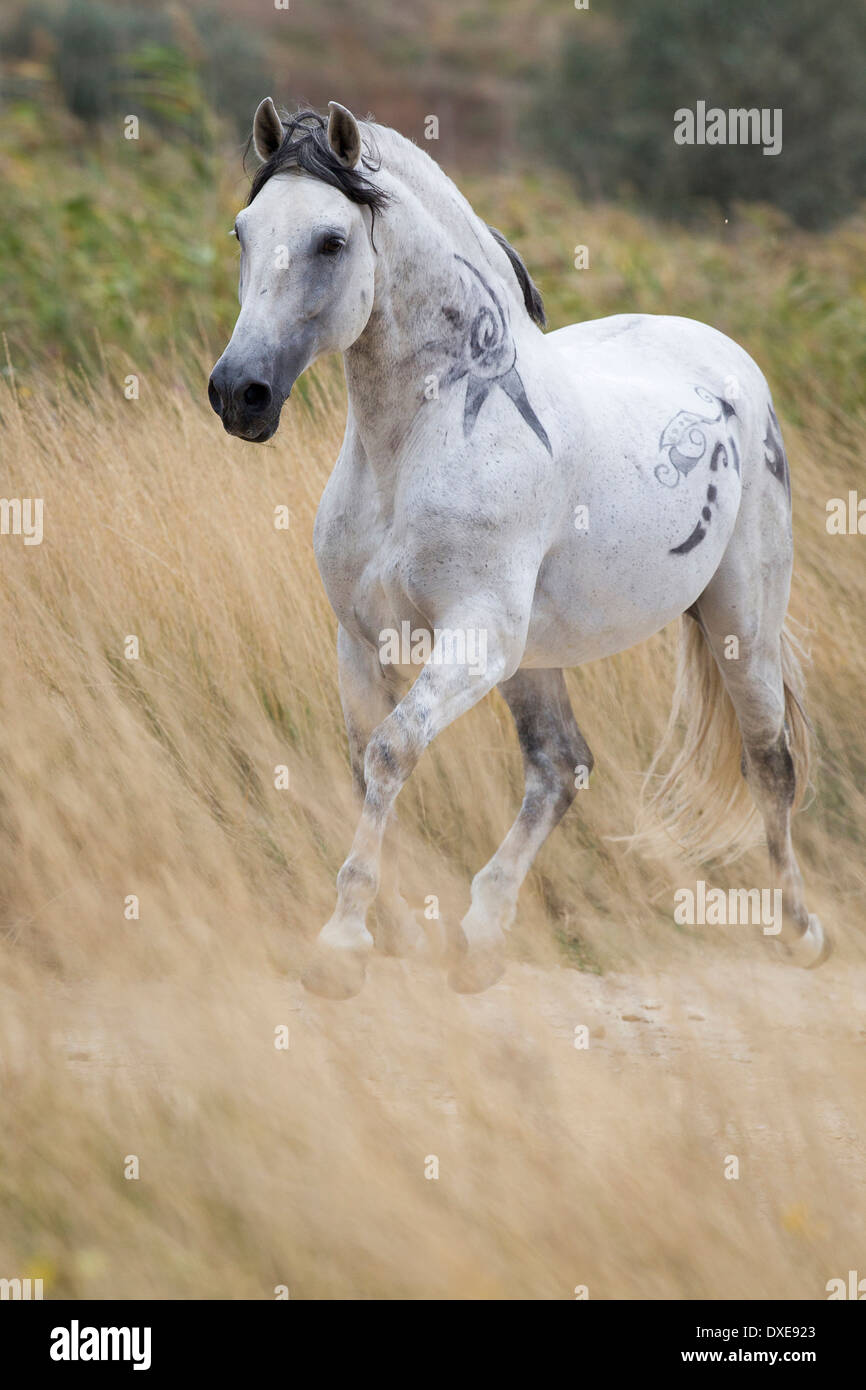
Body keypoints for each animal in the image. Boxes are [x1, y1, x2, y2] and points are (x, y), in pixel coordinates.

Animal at [208, 98, 829, 998]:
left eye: (331, 240)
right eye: (243, 232)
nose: (239, 394)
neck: (420, 442)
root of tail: (729, 360)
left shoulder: (475, 635)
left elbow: (392, 751)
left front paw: (343, 941)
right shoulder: (363, 640)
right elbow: (368, 761)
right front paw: (395, 929)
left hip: (741, 620)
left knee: (769, 761)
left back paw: (800, 932)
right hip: (537, 656)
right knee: (561, 765)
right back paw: (479, 936)